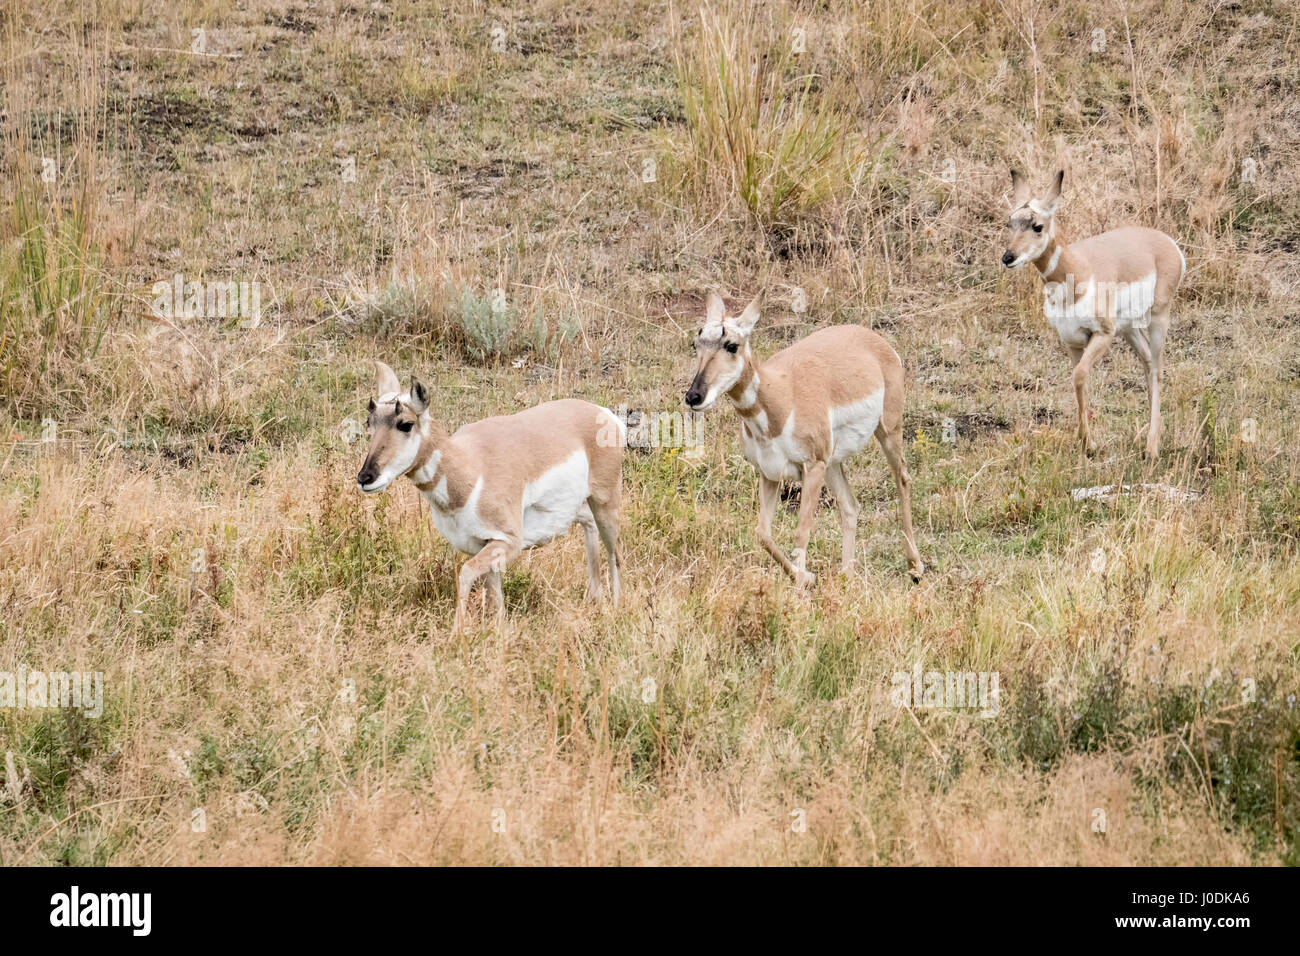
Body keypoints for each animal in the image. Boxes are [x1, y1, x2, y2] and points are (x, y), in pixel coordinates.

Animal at [356, 361, 625, 633]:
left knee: (616, 551)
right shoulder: (483, 545)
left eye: (406, 424)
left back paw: (615, 607)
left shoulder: (508, 542)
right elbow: (496, 598)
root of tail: (602, 413)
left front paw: (457, 633)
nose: (365, 477)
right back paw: (595, 598)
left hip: (606, 501)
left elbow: (465, 573)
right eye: (369, 422)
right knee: (590, 525)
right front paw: (498, 632)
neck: (471, 469)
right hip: (578, 508)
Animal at [683, 293, 924, 587]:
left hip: (887, 431)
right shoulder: (770, 474)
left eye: (731, 345)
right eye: (696, 343)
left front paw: (801, 583)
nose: (693, 396)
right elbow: (762, 533)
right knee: (850, 505)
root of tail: (874, 340)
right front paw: (807, 577)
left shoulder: (812, 466)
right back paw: (846, 576)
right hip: (833, 463)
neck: (781, 397)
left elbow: (801, 531)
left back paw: (915, 567)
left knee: (902, 479)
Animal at [1002, 169, 1185, 459]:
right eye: (1010, 223)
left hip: (1158, 317)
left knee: (1157, 367)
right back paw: (1147, 436)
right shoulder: (1072, 341)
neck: (1078, 272)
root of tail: (1166, 242)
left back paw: (1151, 447)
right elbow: (1080, 380)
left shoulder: (1102, 335)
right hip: (1129, 329)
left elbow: (1078, 376)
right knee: (1147, 362)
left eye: (1037, 226)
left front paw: (1089, 445)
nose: (1008, 257)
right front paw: (1087, 442)